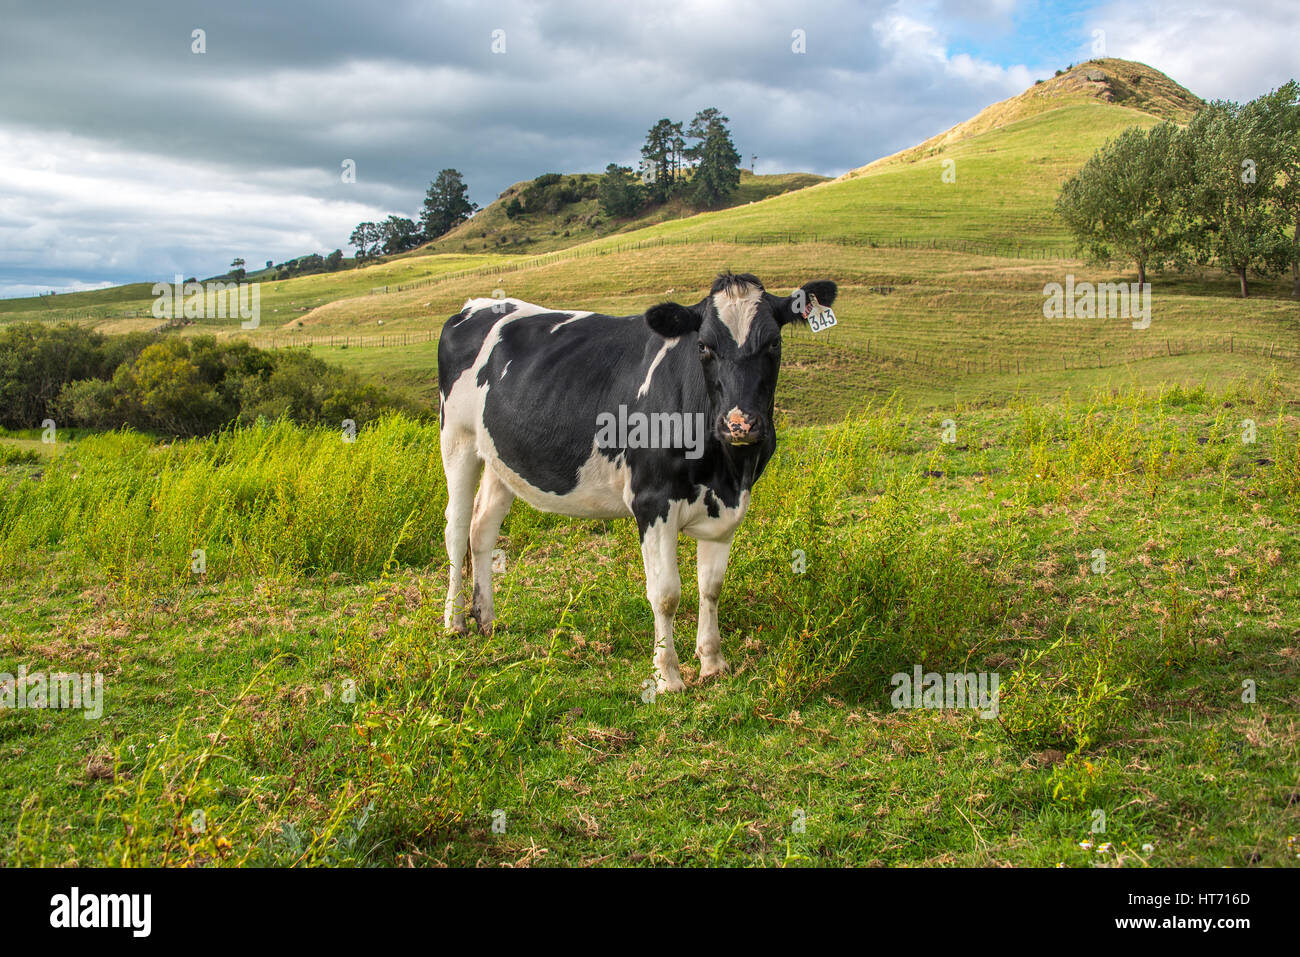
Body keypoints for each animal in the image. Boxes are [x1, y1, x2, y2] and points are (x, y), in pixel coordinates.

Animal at [437, 272, 837, 693]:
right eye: (703, 346)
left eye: (774, 342)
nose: (740, 424)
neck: (725, 469)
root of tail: (476, 305)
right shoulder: (652, 500)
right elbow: (666, 594)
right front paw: (667, 676)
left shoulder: (727, 508)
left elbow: (711, 587)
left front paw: (713, 663)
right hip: (458, 440)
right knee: (456, 528)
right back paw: (454, 620)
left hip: (500, 457)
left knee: (482, 529)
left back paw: (486, 618)